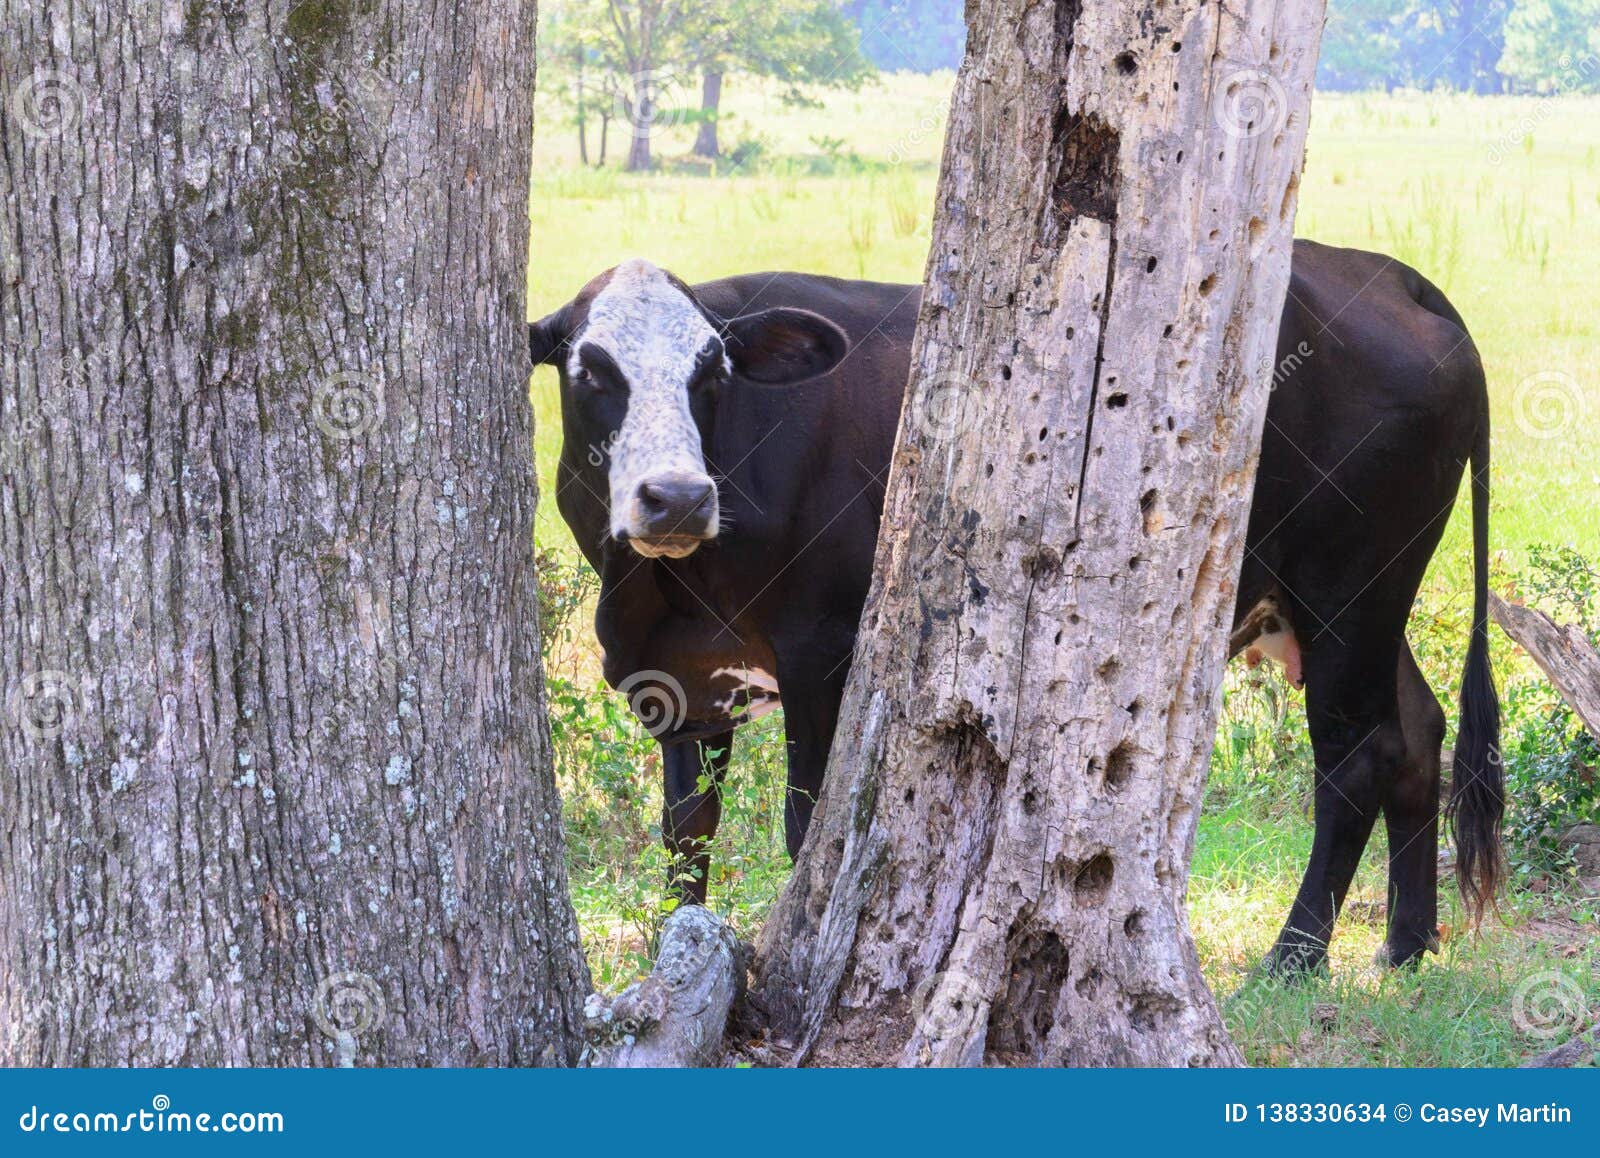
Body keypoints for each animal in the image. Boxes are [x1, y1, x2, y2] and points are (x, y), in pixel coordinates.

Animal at [527, 242, 1500, 975]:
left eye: (713, 370)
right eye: (590, 369)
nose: (677, 497)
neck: (668, 589)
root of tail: (1386, 274)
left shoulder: (821, 653)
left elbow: (811, 825)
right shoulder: (681, 682)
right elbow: (687, 832)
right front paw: (676, 953)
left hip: (1349, 591)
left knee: (1356, 756)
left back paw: (1296, 955)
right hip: (1350, 603)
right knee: (1418, 729)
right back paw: (1407, 944)